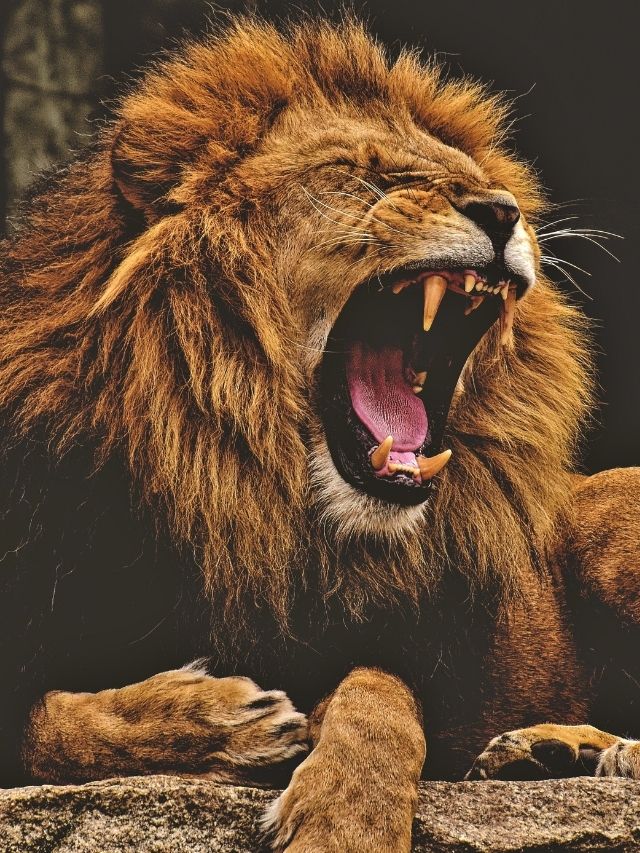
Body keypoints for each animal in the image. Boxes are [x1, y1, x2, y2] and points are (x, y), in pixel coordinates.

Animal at [1, 14, 639, 851]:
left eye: (479, 178)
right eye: (361, 173)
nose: (505, 212)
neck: (246, 492)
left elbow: (379, 688)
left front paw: (345, 814)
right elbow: (47, 726)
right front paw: (224, 718)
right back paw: (542, 750)